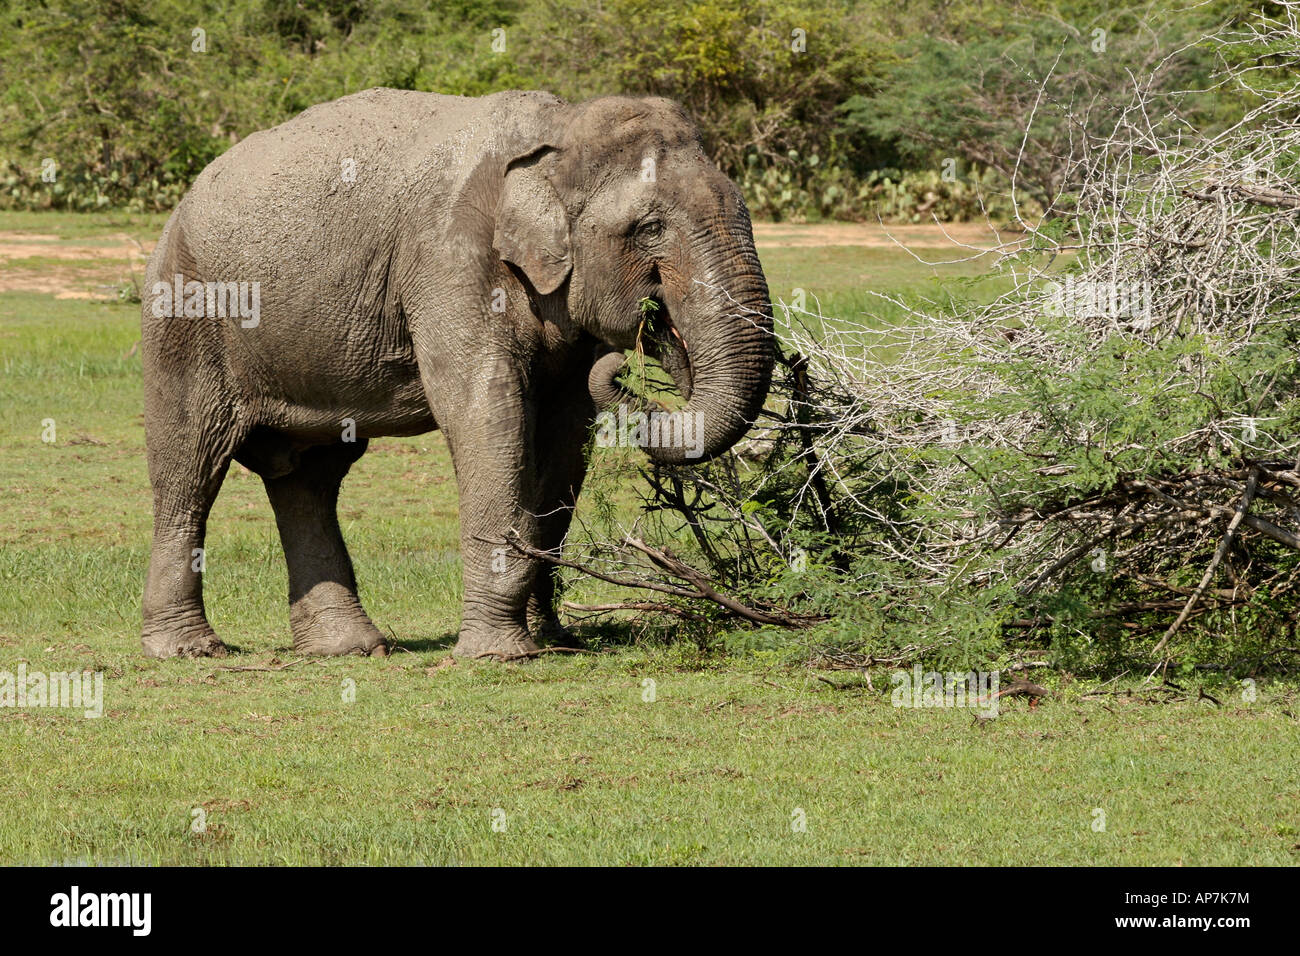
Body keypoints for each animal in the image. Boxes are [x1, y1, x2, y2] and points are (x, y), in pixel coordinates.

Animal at [139, 87, 774, 661]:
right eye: (649, 227)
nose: (624, 362)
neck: (557, 129)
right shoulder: (448, 260)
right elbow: (488, 411)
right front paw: (500, 655)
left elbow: (565, 434)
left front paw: (552, 641)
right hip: (184, 316)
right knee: (189, 467)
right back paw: (188, 650)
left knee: (310, 476)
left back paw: (348, 650)